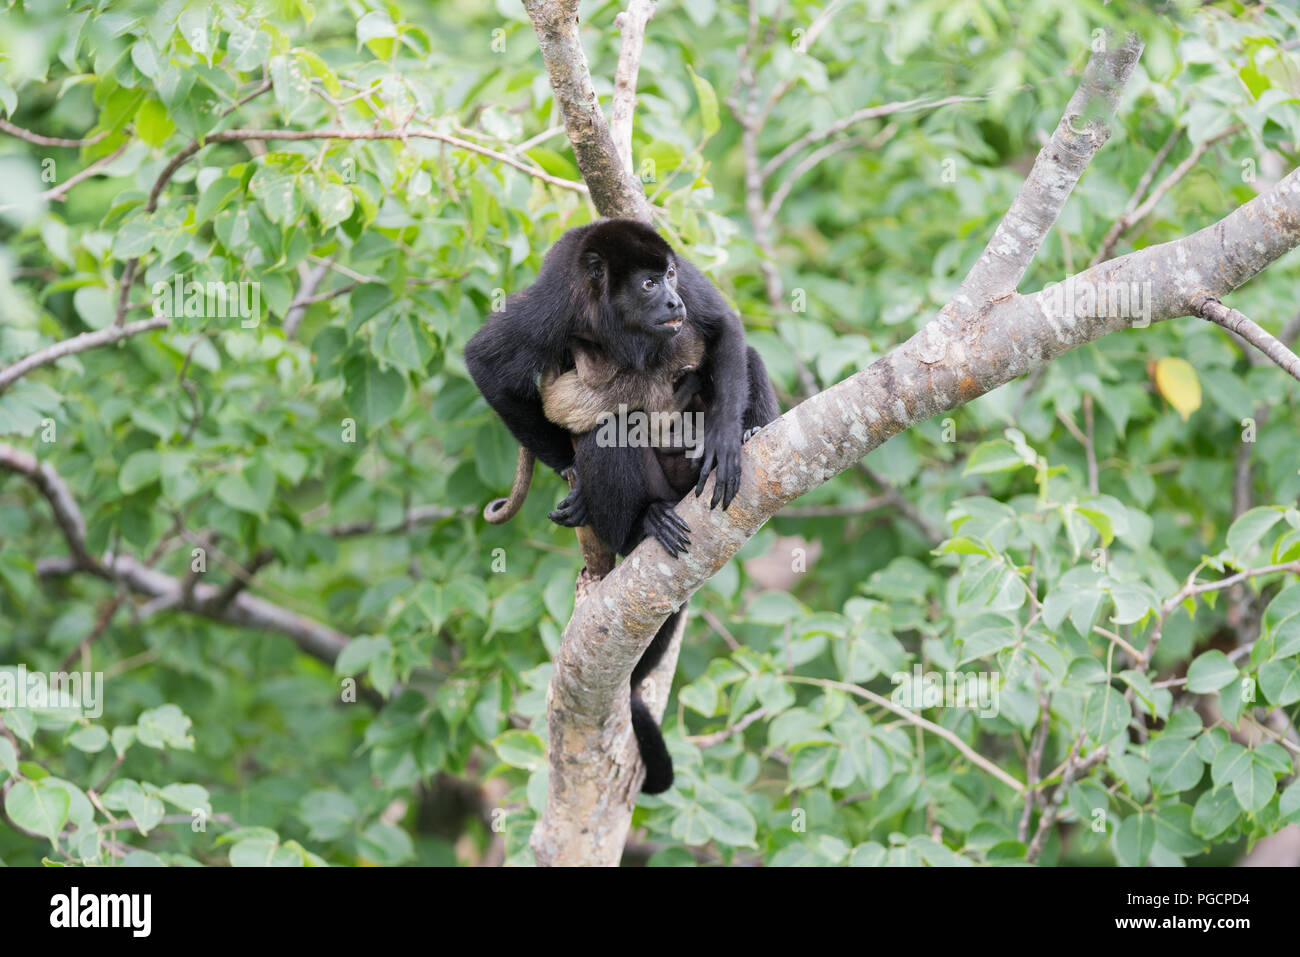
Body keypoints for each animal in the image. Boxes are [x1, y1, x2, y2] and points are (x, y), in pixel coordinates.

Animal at [464, 218, 780, 792]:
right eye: (648, 284)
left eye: (670, 275)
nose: (674, 299)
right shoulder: (555, 302)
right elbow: (487, 363)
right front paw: (573, 481)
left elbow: (724, 326)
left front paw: (727, 436)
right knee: (609, 430)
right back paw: (639, 525)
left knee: (744, 358)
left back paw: (748, 429)